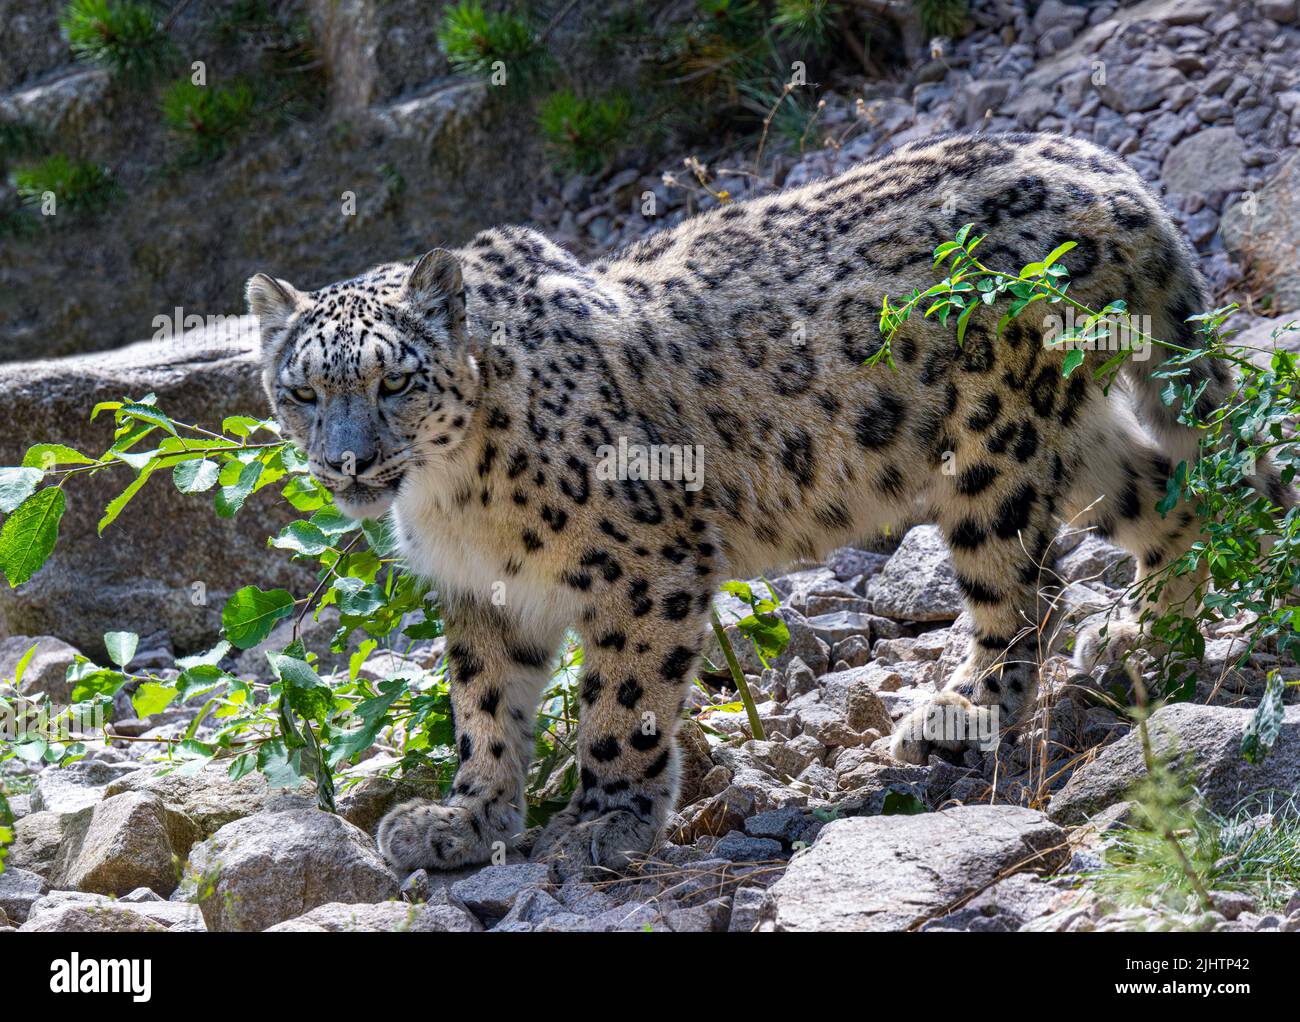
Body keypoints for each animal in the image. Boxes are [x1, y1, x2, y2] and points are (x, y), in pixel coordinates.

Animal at [246, 131, 1288, 879]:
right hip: (1076, 440)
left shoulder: (643, 559)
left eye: (392, 381)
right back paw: (1145, 633)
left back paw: (959, 710)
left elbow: (622, 701)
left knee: (1024, 593)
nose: (344, 461)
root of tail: (1107, 171)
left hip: (995, 449)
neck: (454, 500)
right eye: (300, 391)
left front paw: (601, 823)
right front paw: (463, 818)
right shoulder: (483, 595)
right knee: (1171, 495)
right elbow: (484, 705)